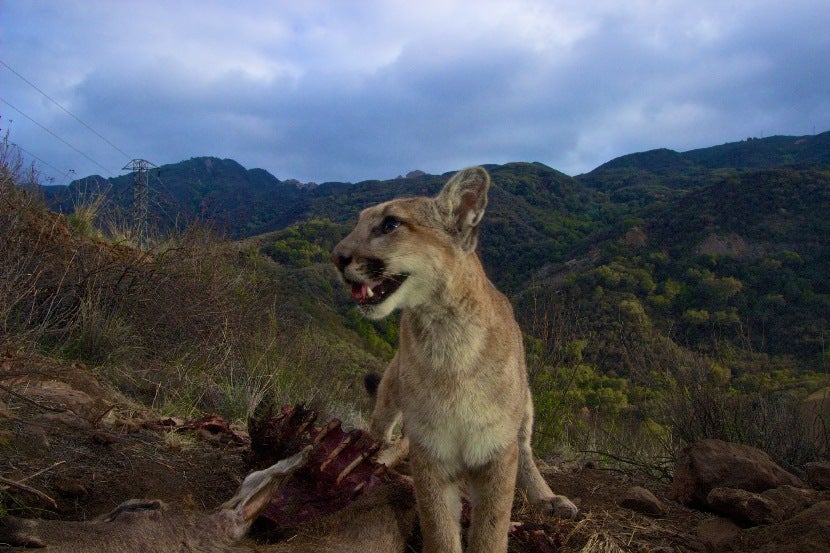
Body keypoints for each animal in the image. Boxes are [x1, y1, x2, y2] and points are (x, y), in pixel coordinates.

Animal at [331, 167, 577, 553]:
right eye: (358, 223)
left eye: (390, 224)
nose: (337, 257)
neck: (447, 339)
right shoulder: (431, 452)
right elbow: (439, 527)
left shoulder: (496, 452)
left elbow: (491, 529)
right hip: (388, 400)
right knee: (379, 437)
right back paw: (374, 462)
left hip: (525, 407)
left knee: (525, 451)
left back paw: (548, 498)